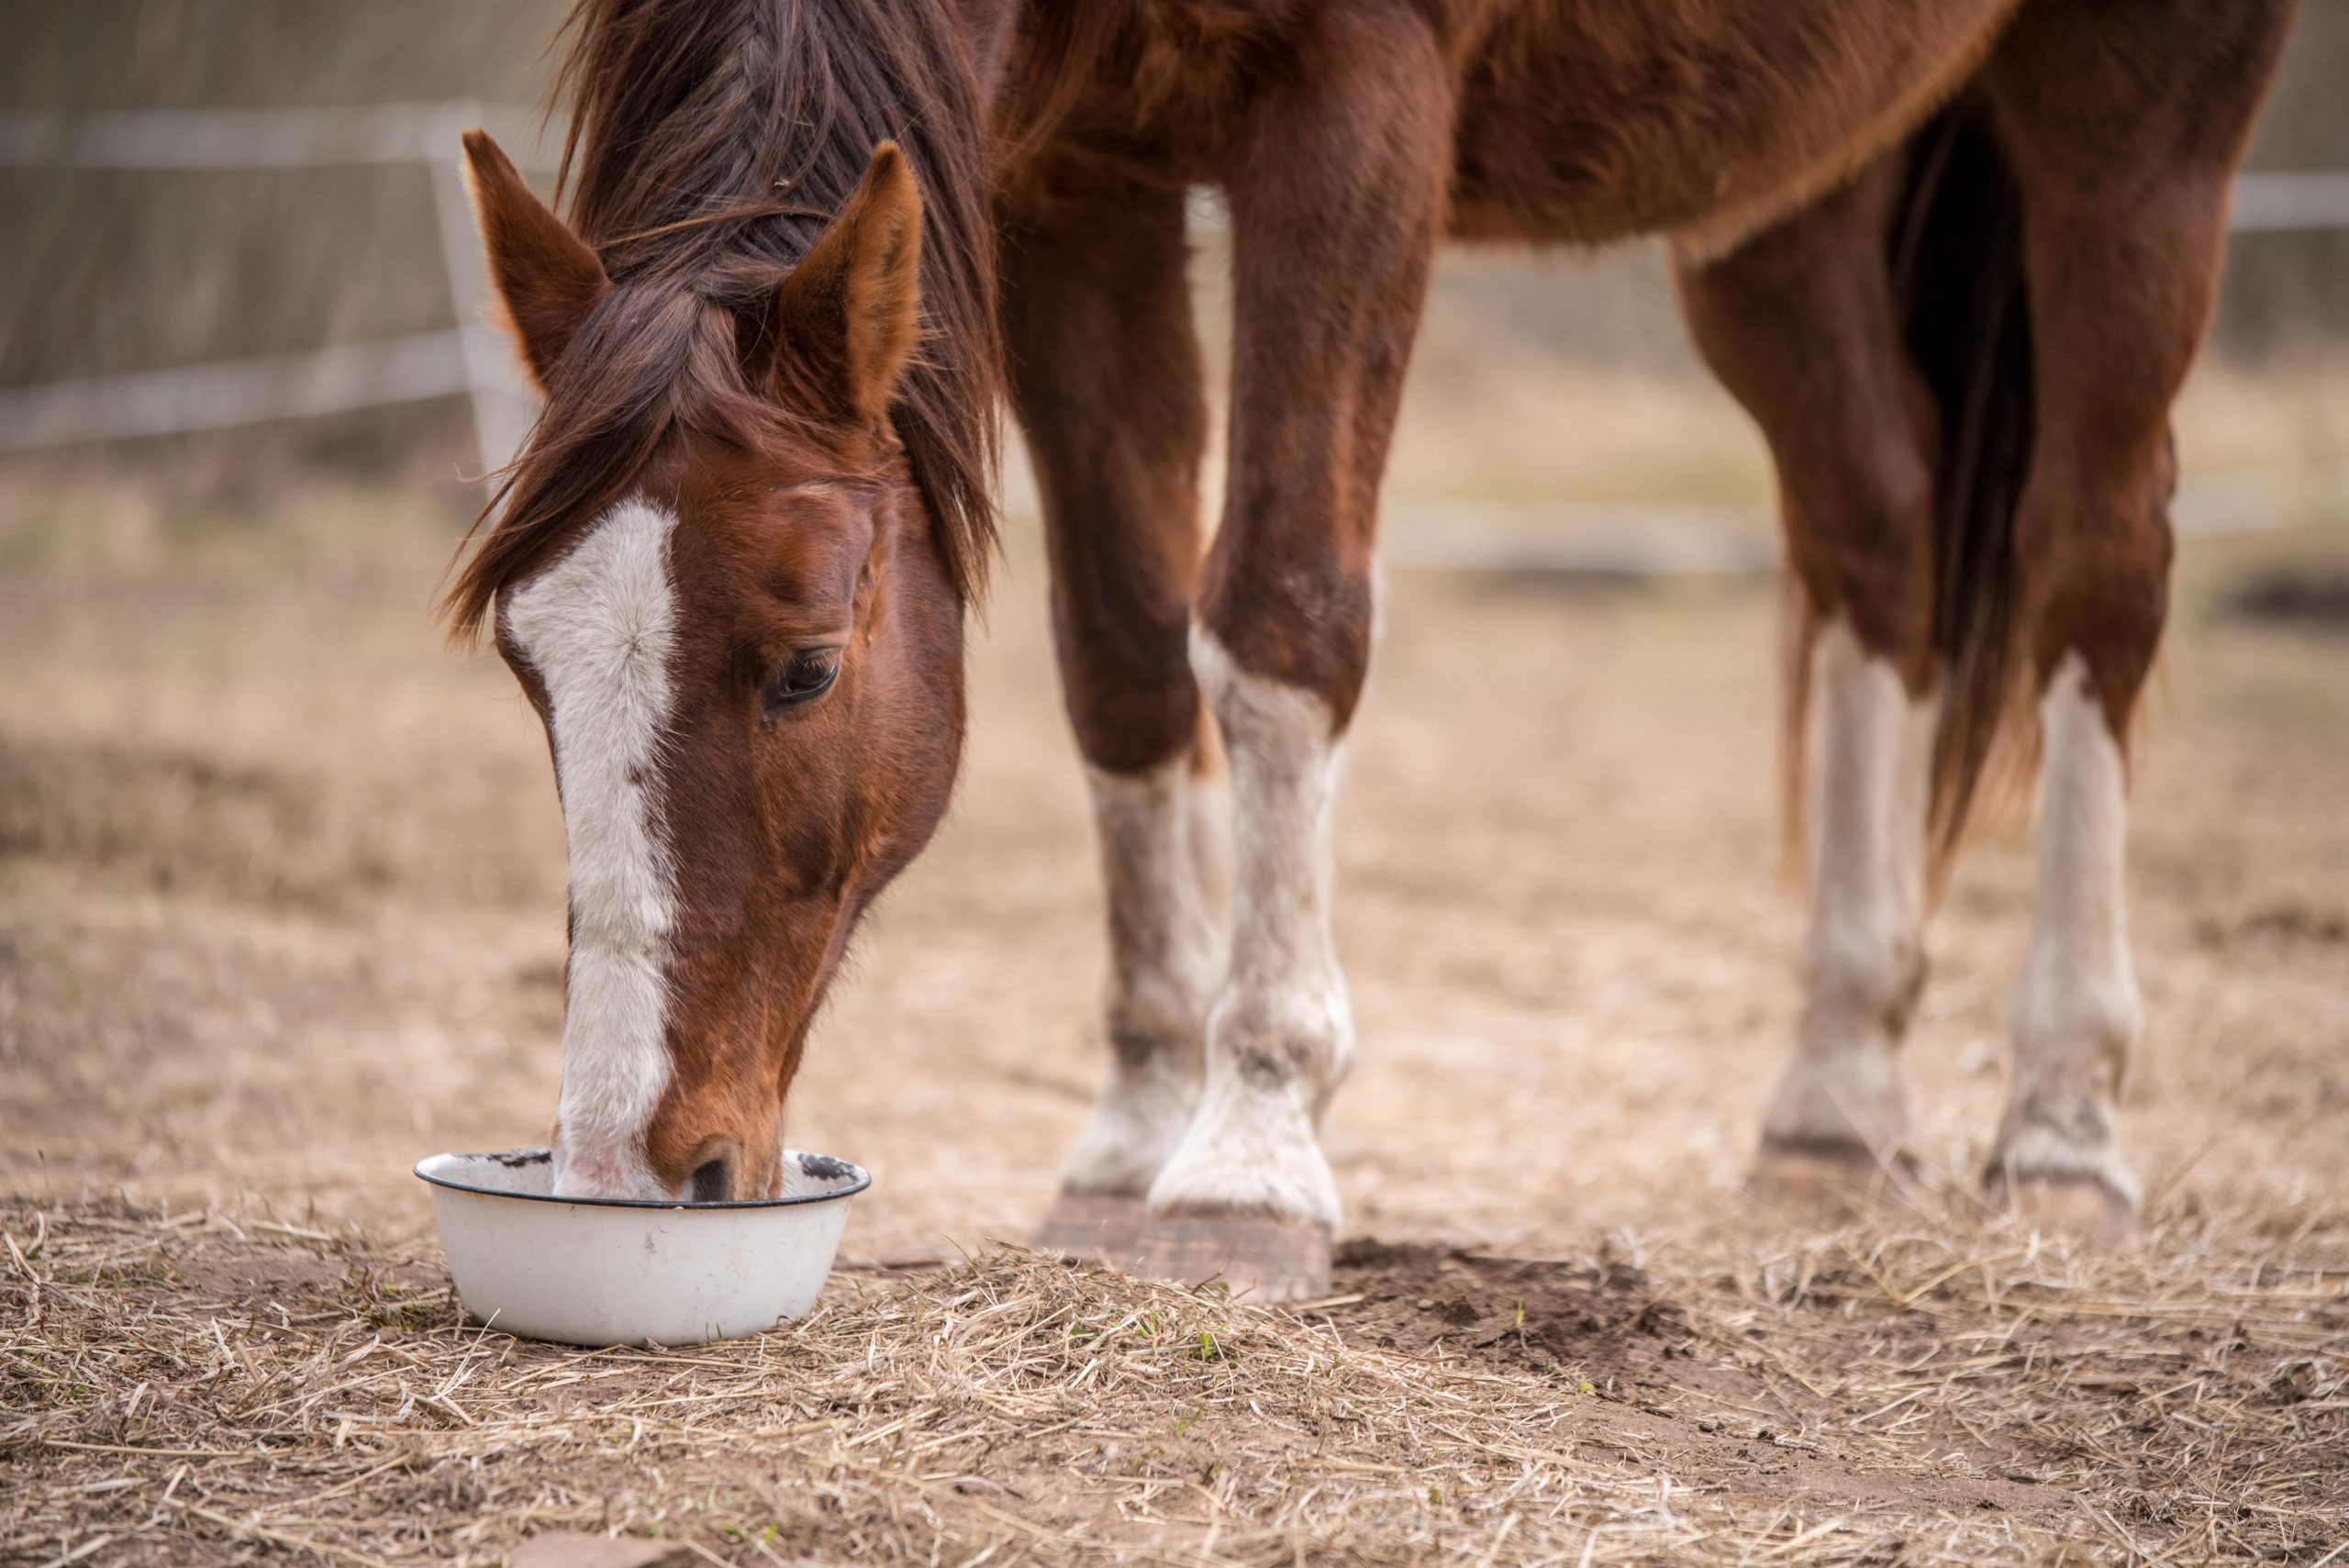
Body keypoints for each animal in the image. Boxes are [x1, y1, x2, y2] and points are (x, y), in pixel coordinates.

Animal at [447, 0, 2297, 1297]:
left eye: (807, 667)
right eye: (530, 669)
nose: (629, 1169)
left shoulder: (1351, 110)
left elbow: (1280, 606)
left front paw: (1251, 1150)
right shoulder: (1074, 179)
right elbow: (1122, 646)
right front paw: (1133, 1129)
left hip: (2139, 121)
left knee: (2097, 564)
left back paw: (2063, 1125)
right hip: (1790, 193)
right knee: (1876, 532)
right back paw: (1832, 1097)